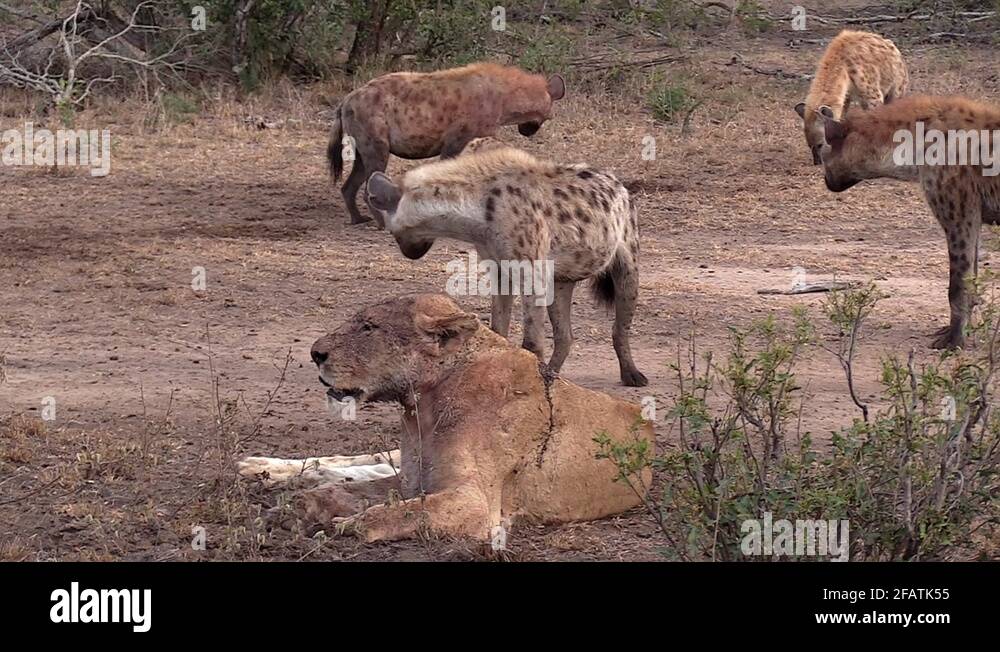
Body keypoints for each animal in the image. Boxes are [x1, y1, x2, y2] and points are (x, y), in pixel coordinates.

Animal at [239, 294, 653, 543]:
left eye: (370, 327)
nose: (315, 353)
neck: (422, 406)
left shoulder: (477, 505)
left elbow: (403, 512)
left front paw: (349, 524)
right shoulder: (410, 480)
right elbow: (355, 493)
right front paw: (293, 508)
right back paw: (261, 467)